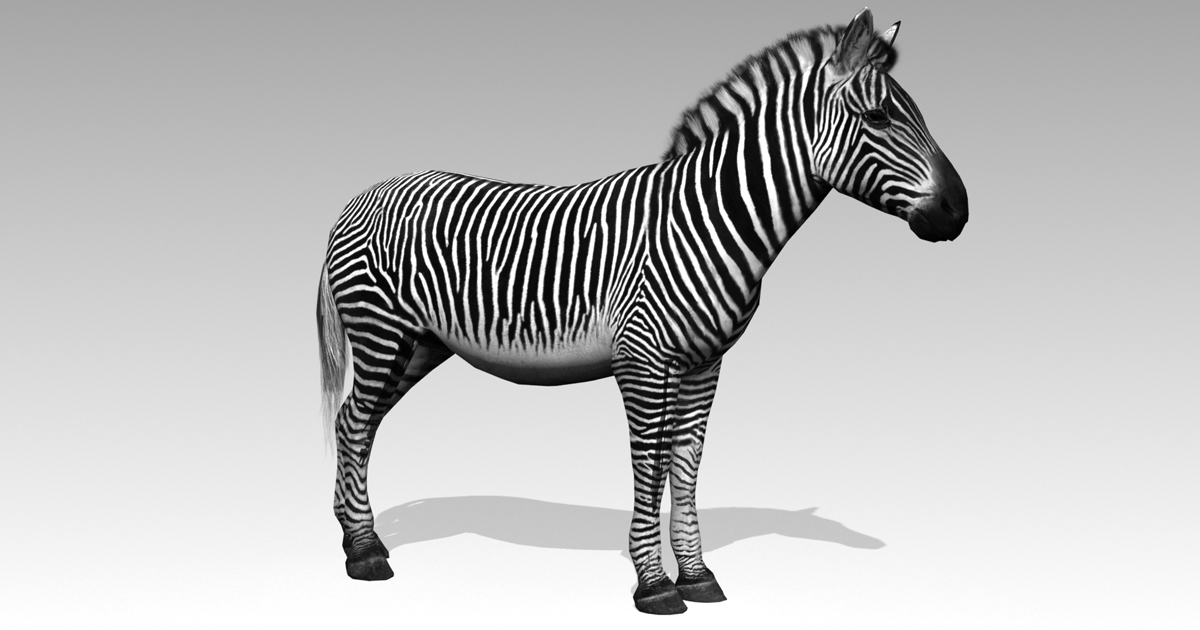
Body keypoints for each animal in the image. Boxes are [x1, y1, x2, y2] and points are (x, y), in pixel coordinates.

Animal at [316, 9, 966, 615]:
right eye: (879, 118)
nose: (959, 213)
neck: (707, 218)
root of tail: (362, 197)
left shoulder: (704, 365)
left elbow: (686, 465)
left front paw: (698, 576)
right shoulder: (644, 360)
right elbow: (650, 466)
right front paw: (654, 586)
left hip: (418, 344)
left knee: (358, 422)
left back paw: (355, 538)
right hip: (381, 334)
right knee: (353, 422)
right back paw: (366, 554)